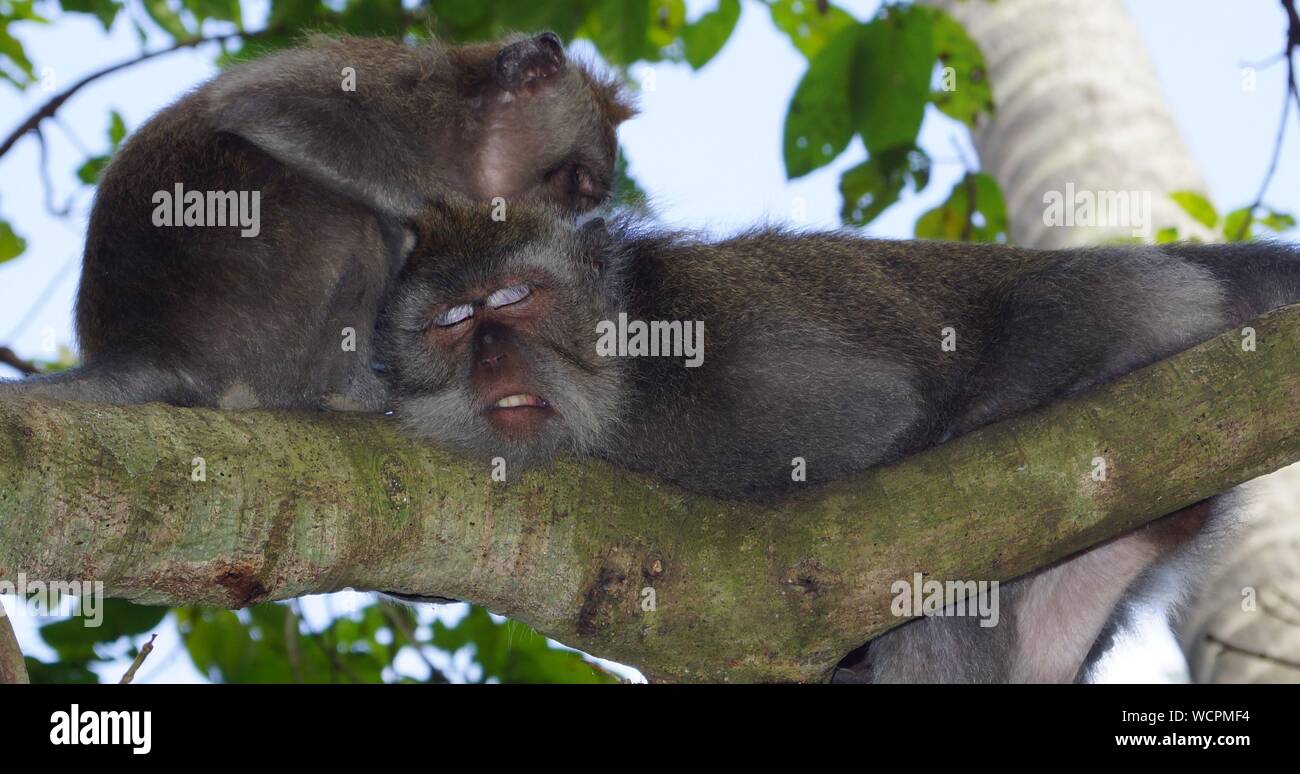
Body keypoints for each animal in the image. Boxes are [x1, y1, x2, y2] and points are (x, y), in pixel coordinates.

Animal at [1, 33, 633, 411]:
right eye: (577, 182)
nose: (564, 220)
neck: (463, 135)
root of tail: (145, 349)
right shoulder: (404, 94)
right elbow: (264, 109)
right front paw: (440, 207)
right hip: (255, 318)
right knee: (359, 226)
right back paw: (346, 392)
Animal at [378, 198, 1300, 682]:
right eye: (454, 322)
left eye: (514, 298)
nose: (490, 355)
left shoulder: (721, 372)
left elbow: (877, 421)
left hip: (1142, 305)